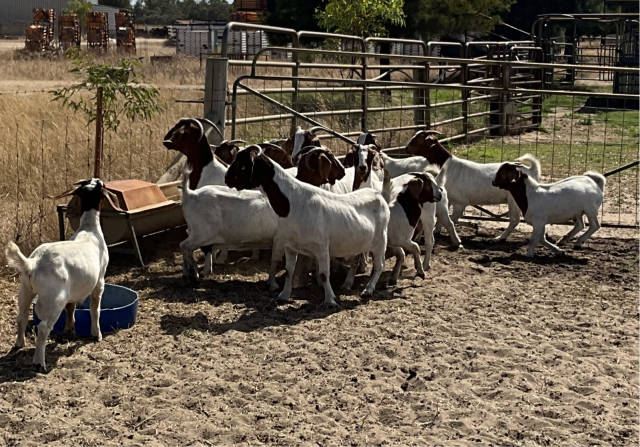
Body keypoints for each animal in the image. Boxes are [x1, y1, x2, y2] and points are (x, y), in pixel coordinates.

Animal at [5, 179, 118, 371]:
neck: (90, 230)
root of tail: (34, 263)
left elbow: (71, 308)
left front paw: (69, 330)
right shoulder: (100, 281)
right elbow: (95, 309)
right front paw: (96, 334)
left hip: (25, 290)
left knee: (21, 317)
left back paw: (19, 344)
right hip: (54, 299)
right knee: (43, 328)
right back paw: (39, 363)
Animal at [225, 146, 390, 306]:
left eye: (243, 166)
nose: (226, 178)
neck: (292, 202)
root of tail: (377, 194)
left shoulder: (322, 246)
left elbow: (324, 274)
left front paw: (330, 300)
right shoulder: (290, 246)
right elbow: (289, 271)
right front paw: (283, 295)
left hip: (380, 240)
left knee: (379, 265)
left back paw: (368, 290)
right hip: (360, 241)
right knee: (358, 259)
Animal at [406, 130, 541, 241]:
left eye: (419, 140)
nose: (405, 149)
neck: (447, 165)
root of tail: (531, 170)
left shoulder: (460, 202)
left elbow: (452, 219)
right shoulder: (448, 199)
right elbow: (442, 217)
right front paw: (436, 231)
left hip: (514, 199)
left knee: (515, 219)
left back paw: (499, 238)